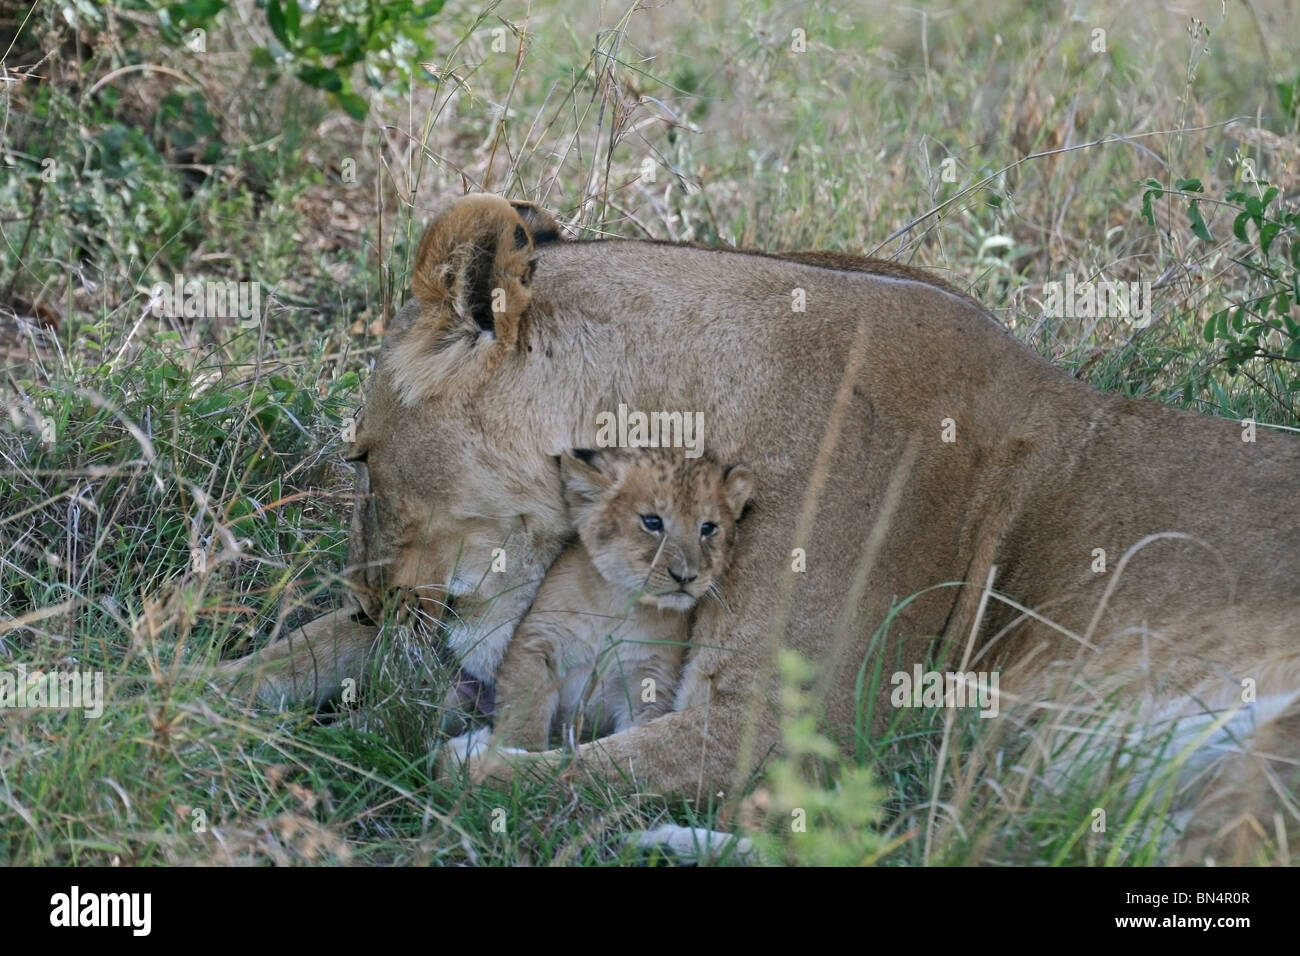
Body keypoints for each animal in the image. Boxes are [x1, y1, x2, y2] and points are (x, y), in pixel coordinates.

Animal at [227, 193, 1300, 860]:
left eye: (363, 460)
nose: (372, 603)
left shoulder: (785, 723)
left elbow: (550, 774)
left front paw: (461, 751)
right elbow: (285, 660)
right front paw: (191, 699)